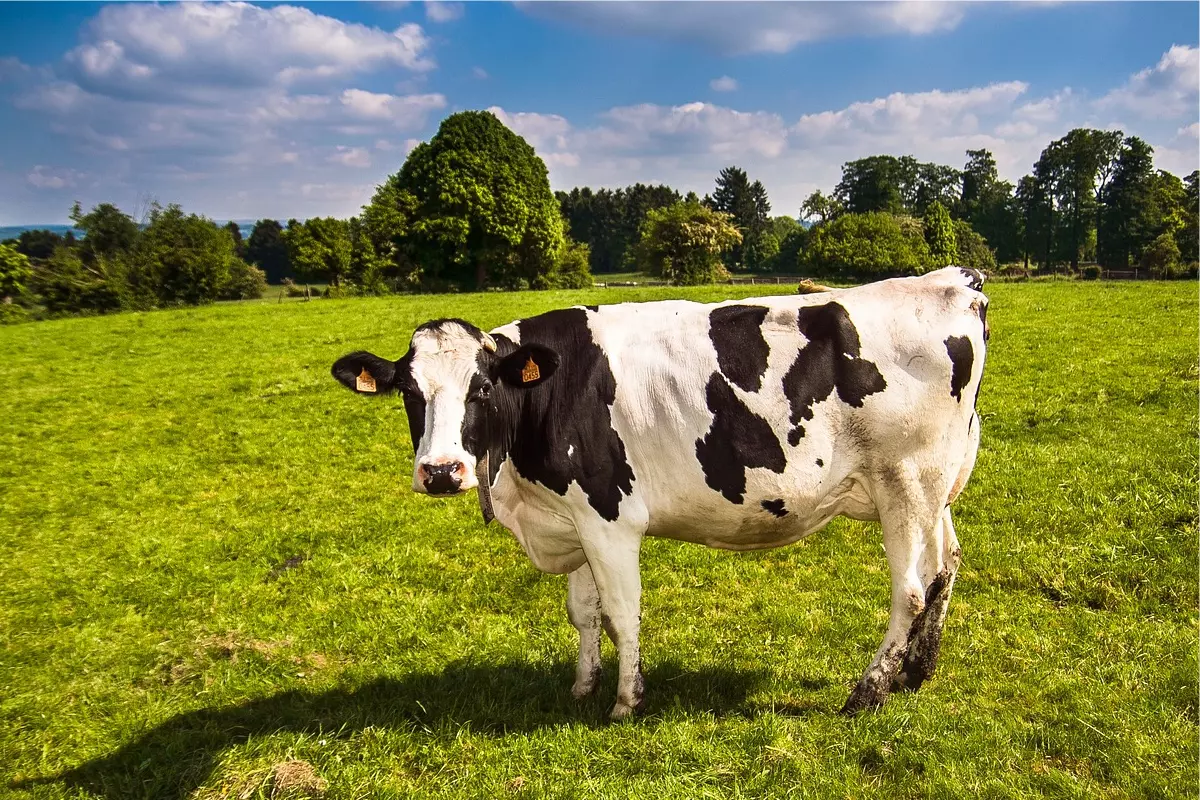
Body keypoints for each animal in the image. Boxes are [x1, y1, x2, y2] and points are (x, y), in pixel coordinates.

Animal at [331, 266, 989, 719]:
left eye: (482, 389)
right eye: (409, 393)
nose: (442, 471)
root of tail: (955, 280)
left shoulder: (608, 516)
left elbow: (622, 612)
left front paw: (626, 700)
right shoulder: (572, 516)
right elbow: (583, 612)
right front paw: (582, 685)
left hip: (904, 482)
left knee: (910, 590)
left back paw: (869, 691)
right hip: (934, 487)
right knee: (945, 566)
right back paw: (917, 671)